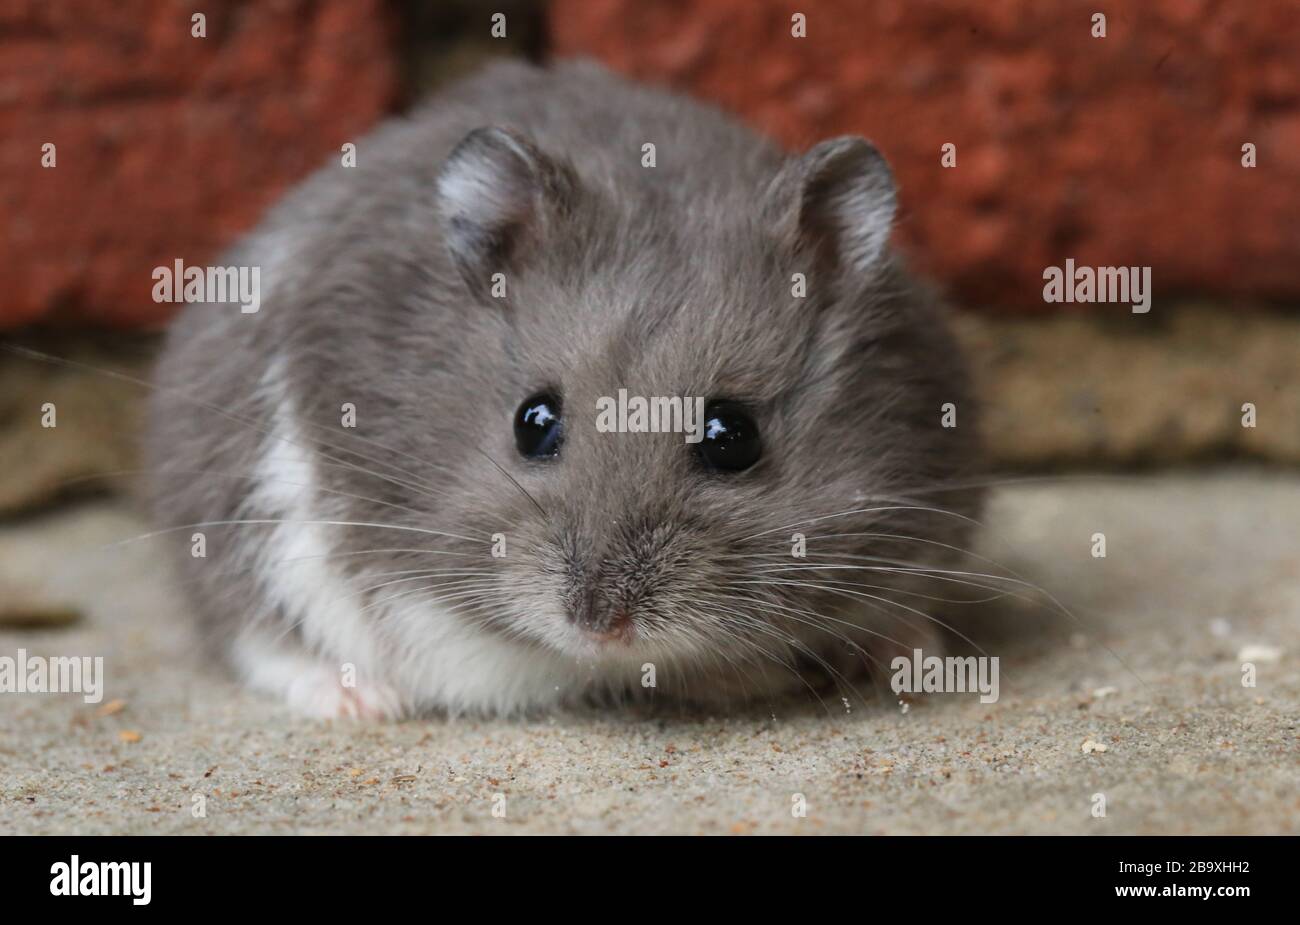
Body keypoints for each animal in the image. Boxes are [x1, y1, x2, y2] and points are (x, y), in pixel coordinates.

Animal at [145, 59, 983, 719]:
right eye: (533, 421)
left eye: (732, 435)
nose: (599, 623)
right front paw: (747, 678)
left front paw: (908, 663)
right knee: (257, 638)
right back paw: (361, 703)